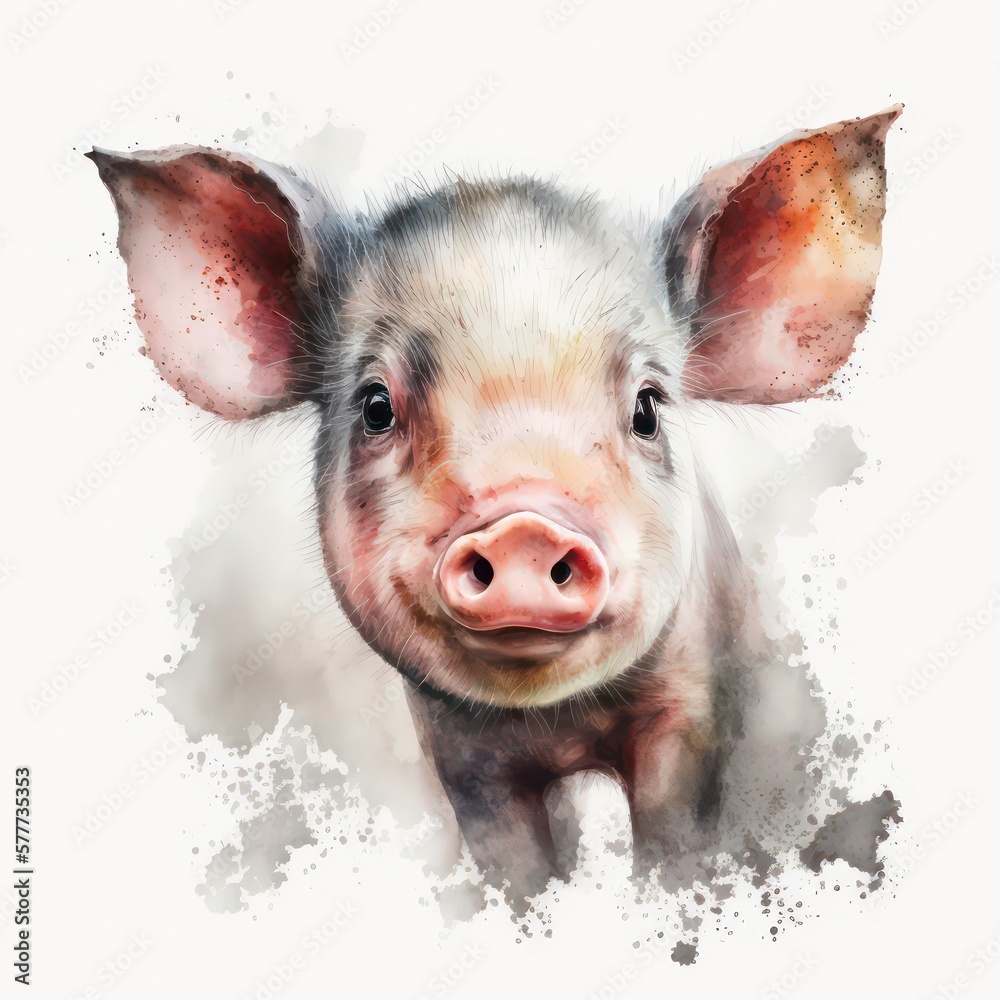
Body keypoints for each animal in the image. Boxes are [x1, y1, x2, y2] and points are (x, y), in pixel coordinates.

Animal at [89, 105, 899, 903]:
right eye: (376, 406)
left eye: (647, 408)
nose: (524, 528)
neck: (563, 726)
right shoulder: (462, 751)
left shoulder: (693, 707)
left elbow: (675, 841)